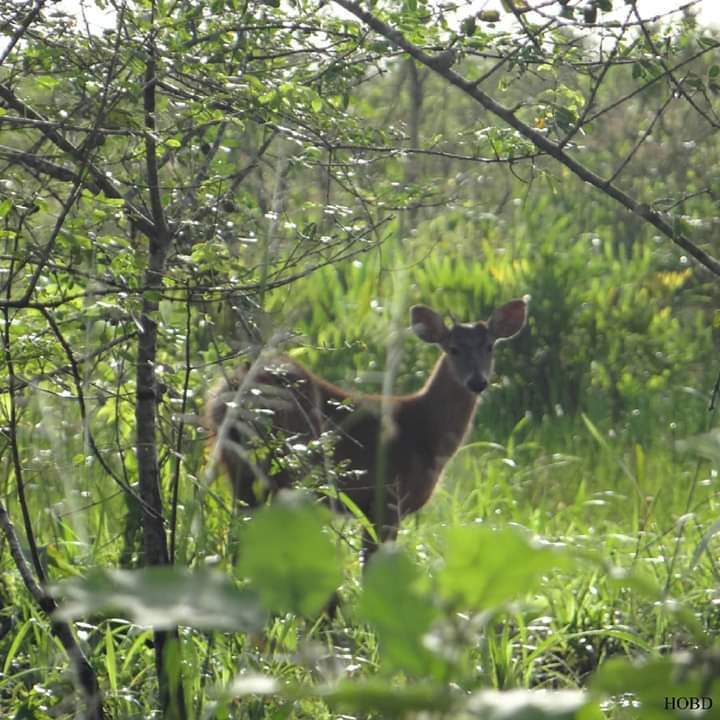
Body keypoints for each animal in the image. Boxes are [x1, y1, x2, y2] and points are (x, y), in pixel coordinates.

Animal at [206, 298, 527, 565]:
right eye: (453, 349)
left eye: (490, 346)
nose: (477, 381)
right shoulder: (386, 497)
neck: (424, 430)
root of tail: (225, 393)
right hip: (277, 464)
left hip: (241, 469)